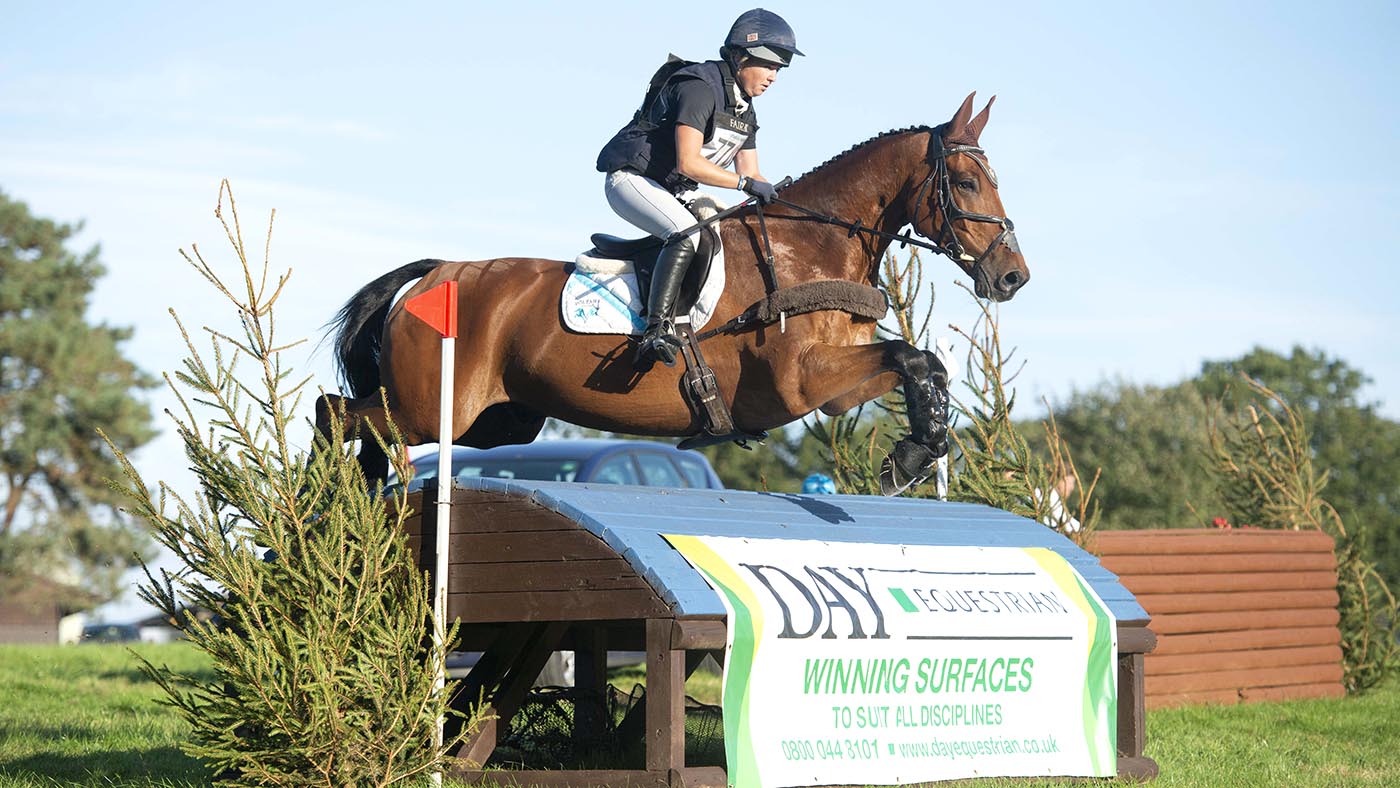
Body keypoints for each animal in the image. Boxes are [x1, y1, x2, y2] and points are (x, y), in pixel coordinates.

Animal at [320, 92, 1028, 495]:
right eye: (968, 183)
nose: (1013, 276)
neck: (811, 246)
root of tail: (436, 272)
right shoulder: (801, 381)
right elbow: (914, 357)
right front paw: (911, 457)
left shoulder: (832, 389)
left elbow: (919, 361)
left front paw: (915, 454)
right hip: (430, 407)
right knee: (339, 413)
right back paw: (332, 502)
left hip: (502, 420)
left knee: (361, 420)